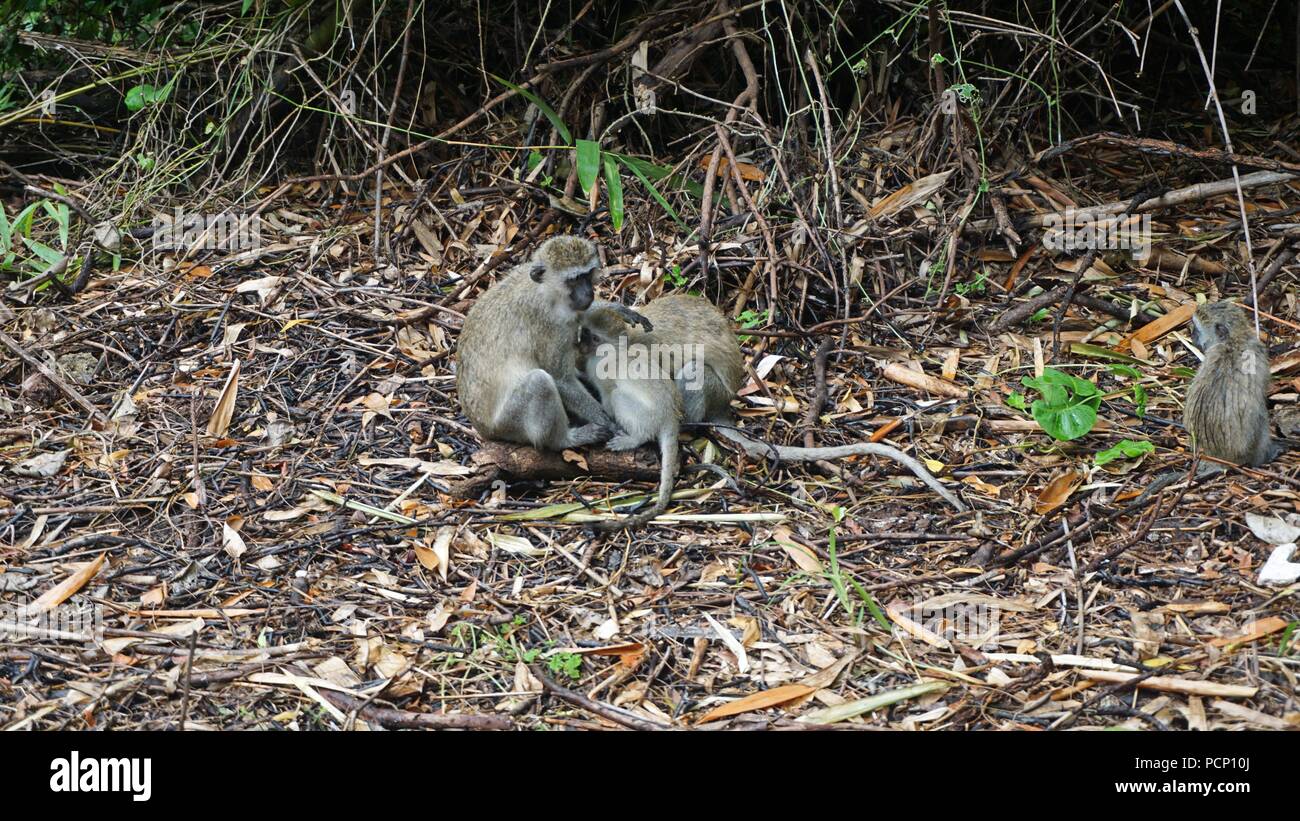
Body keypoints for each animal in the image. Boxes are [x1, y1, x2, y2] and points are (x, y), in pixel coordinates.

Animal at [456, 235, 651, 452]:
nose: (588, 294)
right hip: (508, 424)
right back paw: (565, 439)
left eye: (586, 275)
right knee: (539, 382)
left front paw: (615, 307)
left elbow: (582, 315)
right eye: (573, 280)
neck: (545, 292)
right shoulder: (550, 325)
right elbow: (559, 378)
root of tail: (483, 430)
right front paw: (607, 421)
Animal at [577, 306, 683, 530]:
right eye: (585, 332)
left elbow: (607, 397)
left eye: (594, 337)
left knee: (618, 396)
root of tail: (669, 415)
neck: (613, 350)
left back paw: (633, 439)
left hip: (645, 417)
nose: (580, 346)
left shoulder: (600, 371)